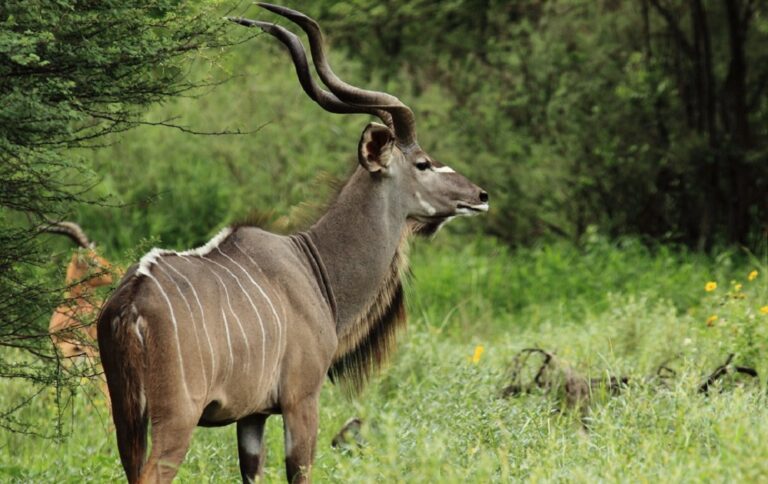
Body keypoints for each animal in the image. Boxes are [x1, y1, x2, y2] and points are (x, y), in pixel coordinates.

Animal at [97, 4, 489, 483]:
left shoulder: (252, 416)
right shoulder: (302, 400)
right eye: (423, 163)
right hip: (176, 418)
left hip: (126, 417)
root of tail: (129, 303)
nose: (480, 196)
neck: (313, 265)